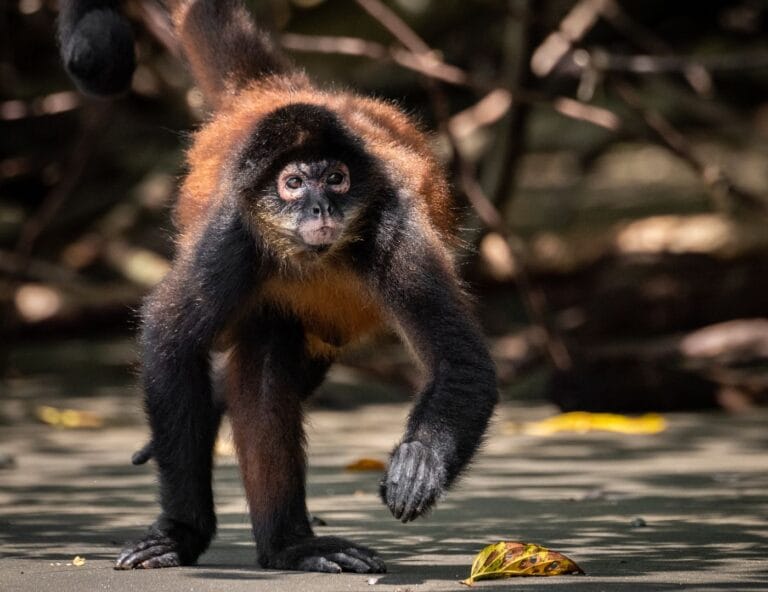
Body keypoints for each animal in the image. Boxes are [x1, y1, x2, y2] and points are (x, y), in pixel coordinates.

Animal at [58, 0, 498, 574]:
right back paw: (290, 544)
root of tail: (272, 93)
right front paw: (180, 531)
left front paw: (419, 461)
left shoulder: (393, 225)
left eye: (335, 179)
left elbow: (460, 362)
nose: (320, 207)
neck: (318, 254)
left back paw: (284, 535)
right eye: (293, 184)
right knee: (265, 364)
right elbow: (169, 340)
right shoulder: (235, 237)